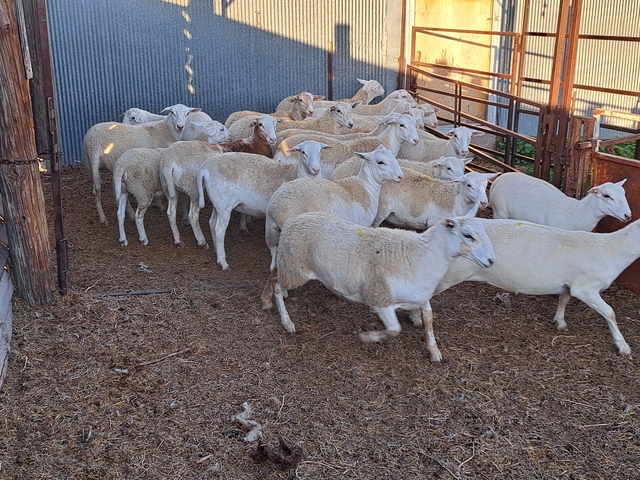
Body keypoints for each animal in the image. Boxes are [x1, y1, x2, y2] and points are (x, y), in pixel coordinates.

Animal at [196, 140, 330, 270]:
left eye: (320, 151)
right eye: (303, 152)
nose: (316, 169)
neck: (296, 174)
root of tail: (205, 168)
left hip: (218, 203)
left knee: (212, 223)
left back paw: (216, 252)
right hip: (224, 205)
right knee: (219, 229)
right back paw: (223, 262)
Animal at [266, 212, 495, 362]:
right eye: (468, 235)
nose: (491, 261)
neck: (422, 255)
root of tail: (291, 220)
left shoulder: (421, 295)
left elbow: (429, 319)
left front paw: (434, 351)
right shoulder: (380, 299)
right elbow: (394, 331)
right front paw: (368, 337)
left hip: (291, 265)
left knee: (274, 276)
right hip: (296, 268)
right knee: (276, 283)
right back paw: (285, 319)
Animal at [432, 218, 640, 356]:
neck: (613, 249)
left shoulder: (569, 284)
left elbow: (564, 298)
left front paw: (560, 321)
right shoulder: (586, 288)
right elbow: (610, 312)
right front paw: (623, 346)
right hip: (447, 275)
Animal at [489, 173, 631, 230]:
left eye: (624, 193)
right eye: (607, 196)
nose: (628, 215)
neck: (578, 212)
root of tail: (497, 180)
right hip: (500, 212)